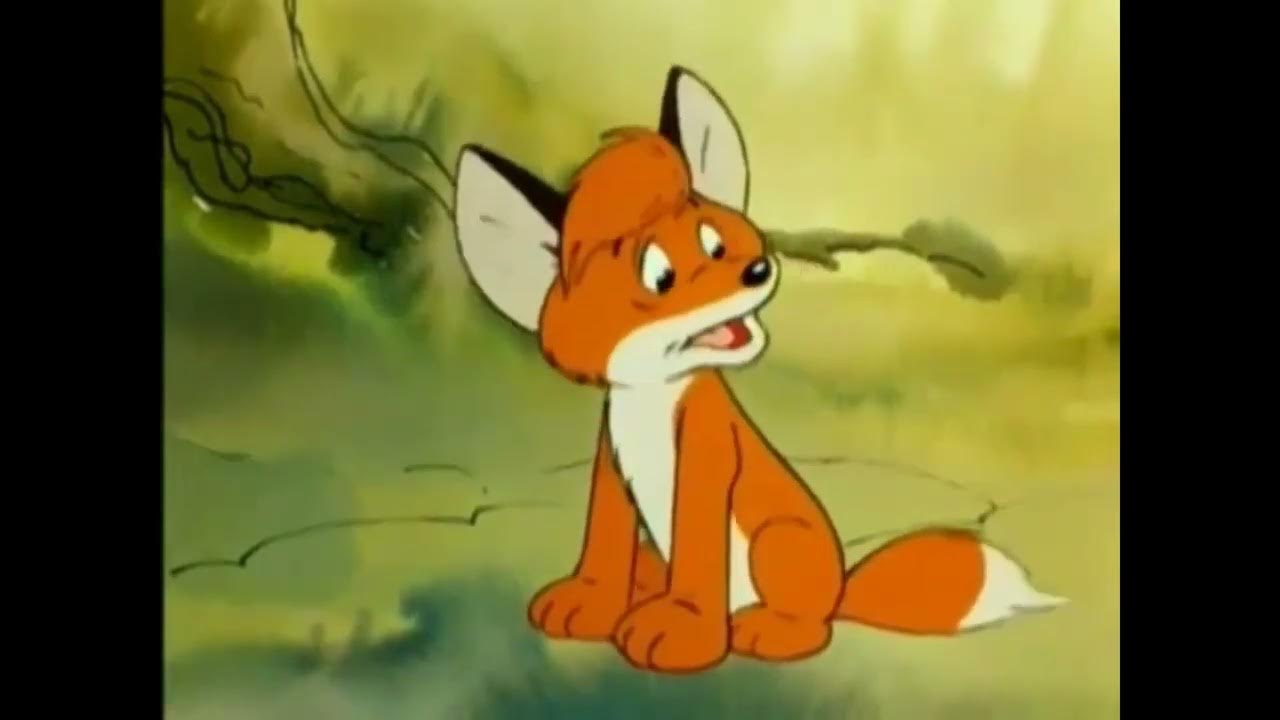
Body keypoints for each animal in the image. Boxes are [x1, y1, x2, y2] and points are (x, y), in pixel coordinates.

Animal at [452, 65, 1067, 673]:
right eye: (658, 277)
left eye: (716, 242)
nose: (756, 269)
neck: (652, 400)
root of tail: (839, 586)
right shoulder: (612, 464)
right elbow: (604, 542)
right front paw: (591, 600)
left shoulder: (707, 459)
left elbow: (697, 562)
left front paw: (683, 633)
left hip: (779, 540)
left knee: (811, 626)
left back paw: (764, 629)